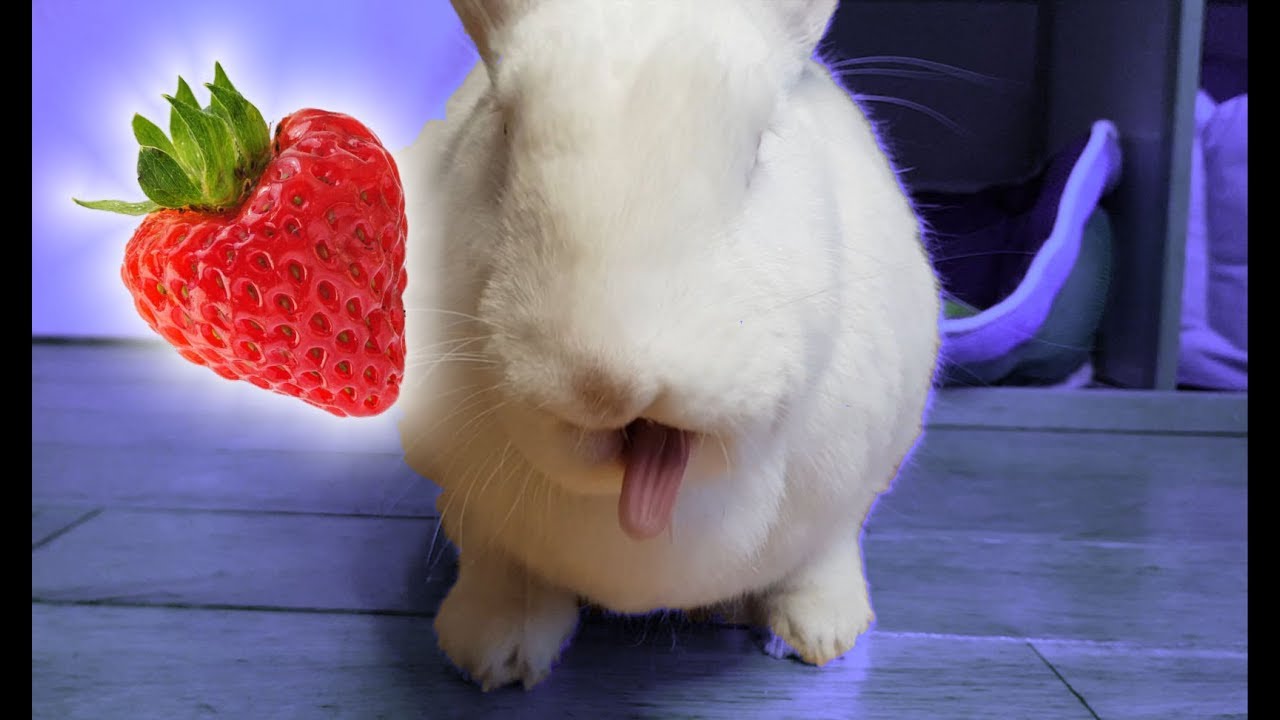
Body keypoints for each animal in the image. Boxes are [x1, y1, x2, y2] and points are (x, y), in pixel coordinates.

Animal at [396, 0, 941, 691]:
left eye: (759, 147)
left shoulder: (851, 487)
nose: (606, 384)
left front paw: (822, 636)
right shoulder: (467, 502)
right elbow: (501, 568)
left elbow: (822, 555)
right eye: (505, 132)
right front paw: (491, 657)